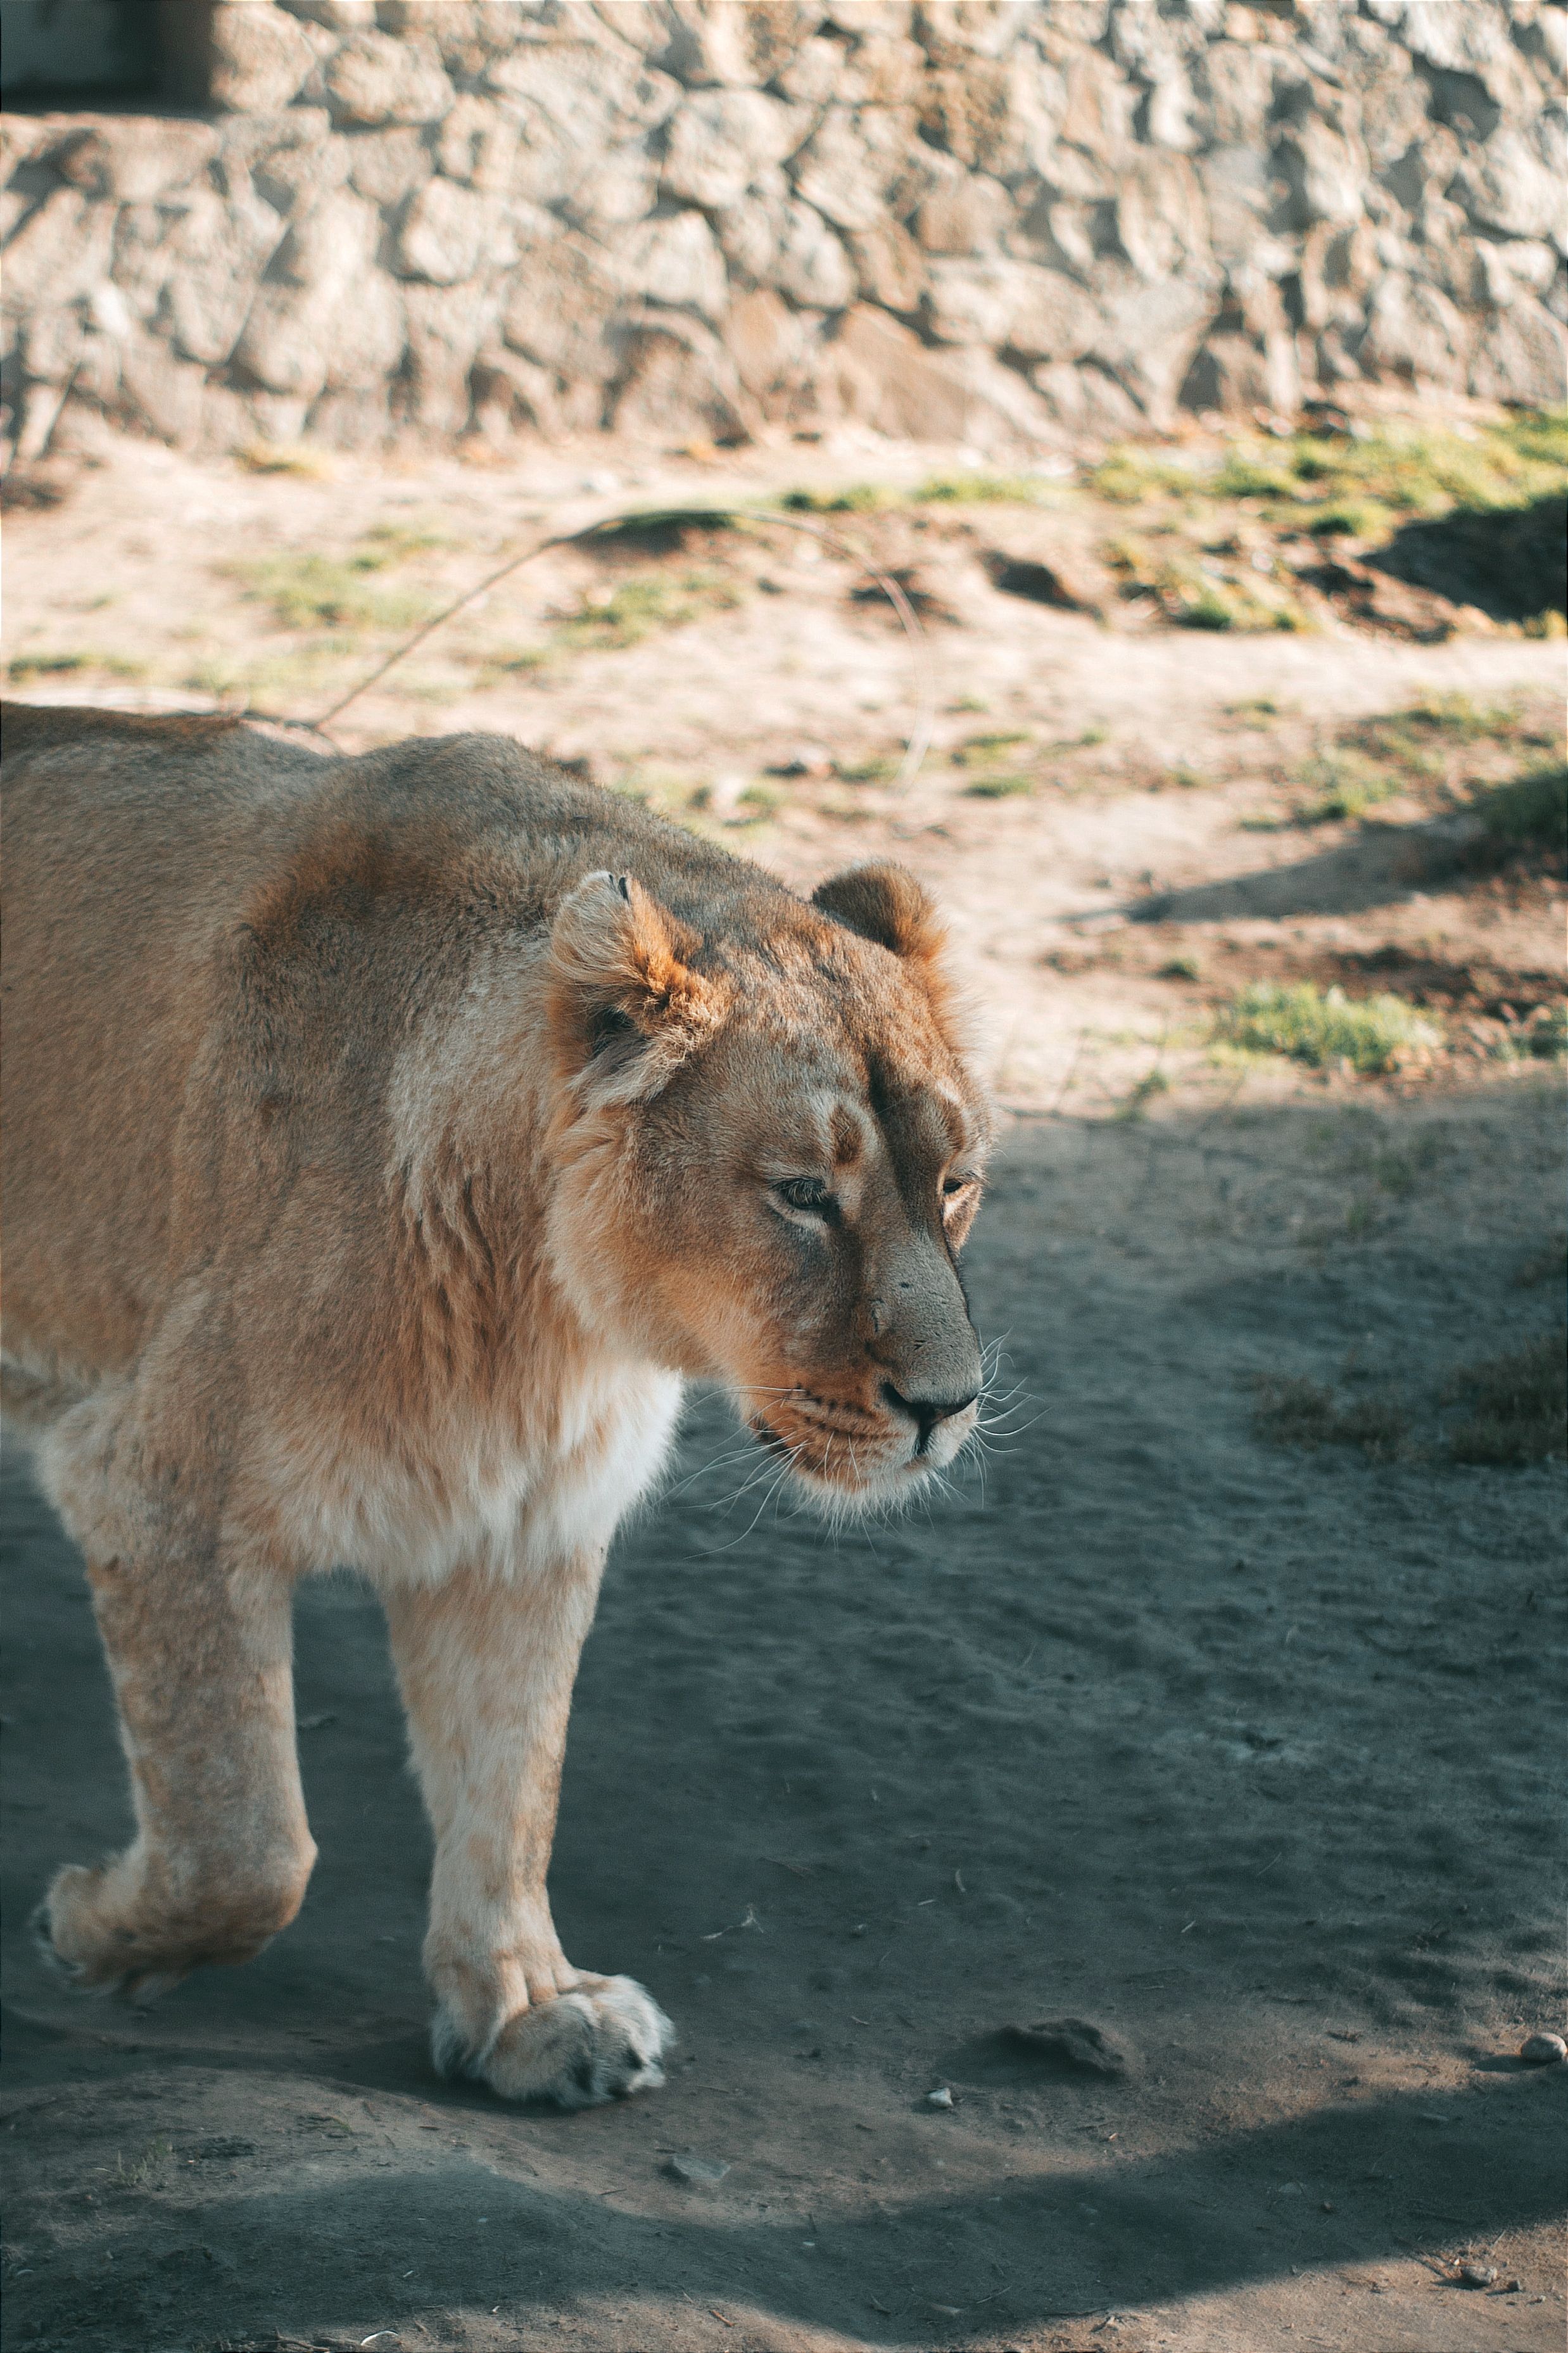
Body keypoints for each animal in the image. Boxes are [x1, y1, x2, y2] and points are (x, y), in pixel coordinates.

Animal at [1, 706, 991, 2109]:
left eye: (955, 1184)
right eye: (803, 1193)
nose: (944, 1406)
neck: (545, 1314)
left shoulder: (525, 1517)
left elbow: (513, 1782)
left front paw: (528, 2013)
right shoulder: (150, 1476)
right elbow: (249, 1841)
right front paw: (90, 1928)